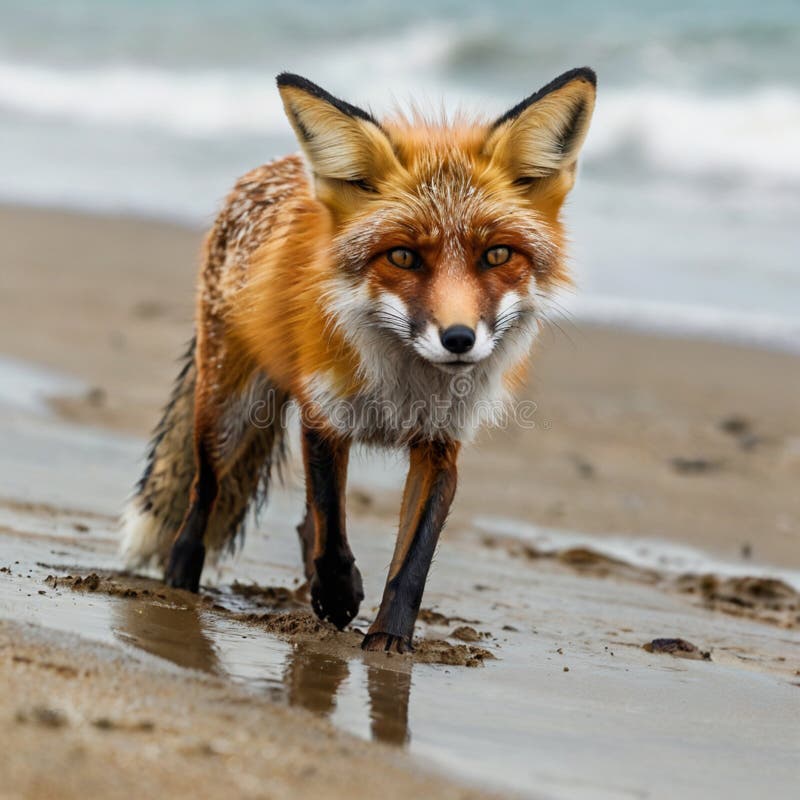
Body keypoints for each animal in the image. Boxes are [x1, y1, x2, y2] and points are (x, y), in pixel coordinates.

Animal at [120, 68, 596, 653]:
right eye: (403, 256)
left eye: (498, 255)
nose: (459, 339)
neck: (403, 386)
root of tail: (268, 169)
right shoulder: (325, 418)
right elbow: (331, 528)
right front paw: (338, 595)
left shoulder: (440, 446)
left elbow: (411, 559)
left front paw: (390, 637)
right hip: (227, 410)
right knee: (201, 493)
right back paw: (182, 583)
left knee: (298, 522)